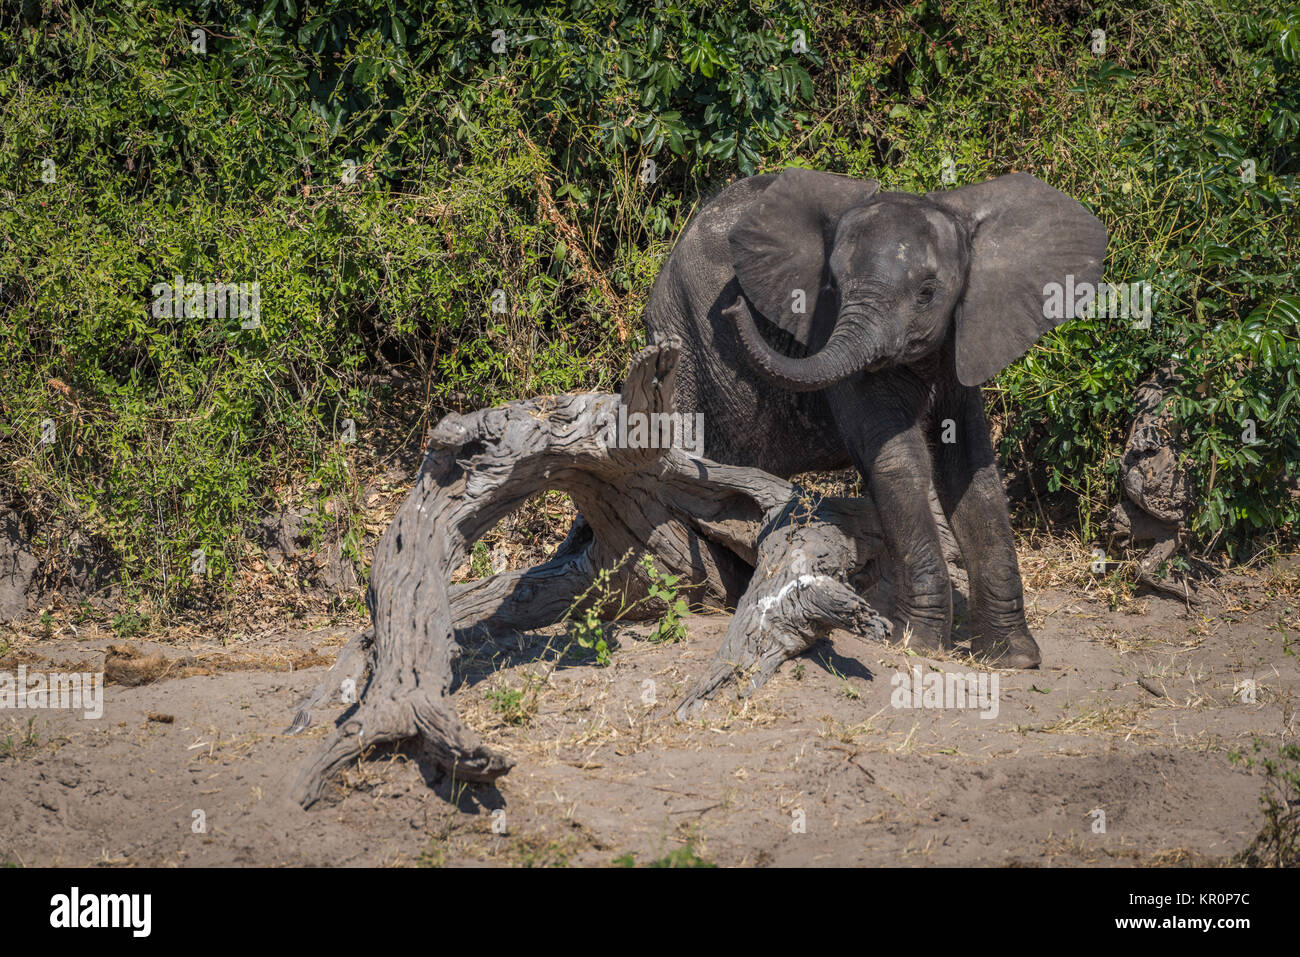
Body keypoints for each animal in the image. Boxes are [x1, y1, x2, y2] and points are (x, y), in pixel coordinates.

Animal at [643, 167, 1107, 668]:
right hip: (679, 341)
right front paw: (917, 645)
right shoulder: (826, 335)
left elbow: (969, 467)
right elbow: (898, 462)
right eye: (832, 288)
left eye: (927, 294)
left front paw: (1013, 657)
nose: (734, 307)